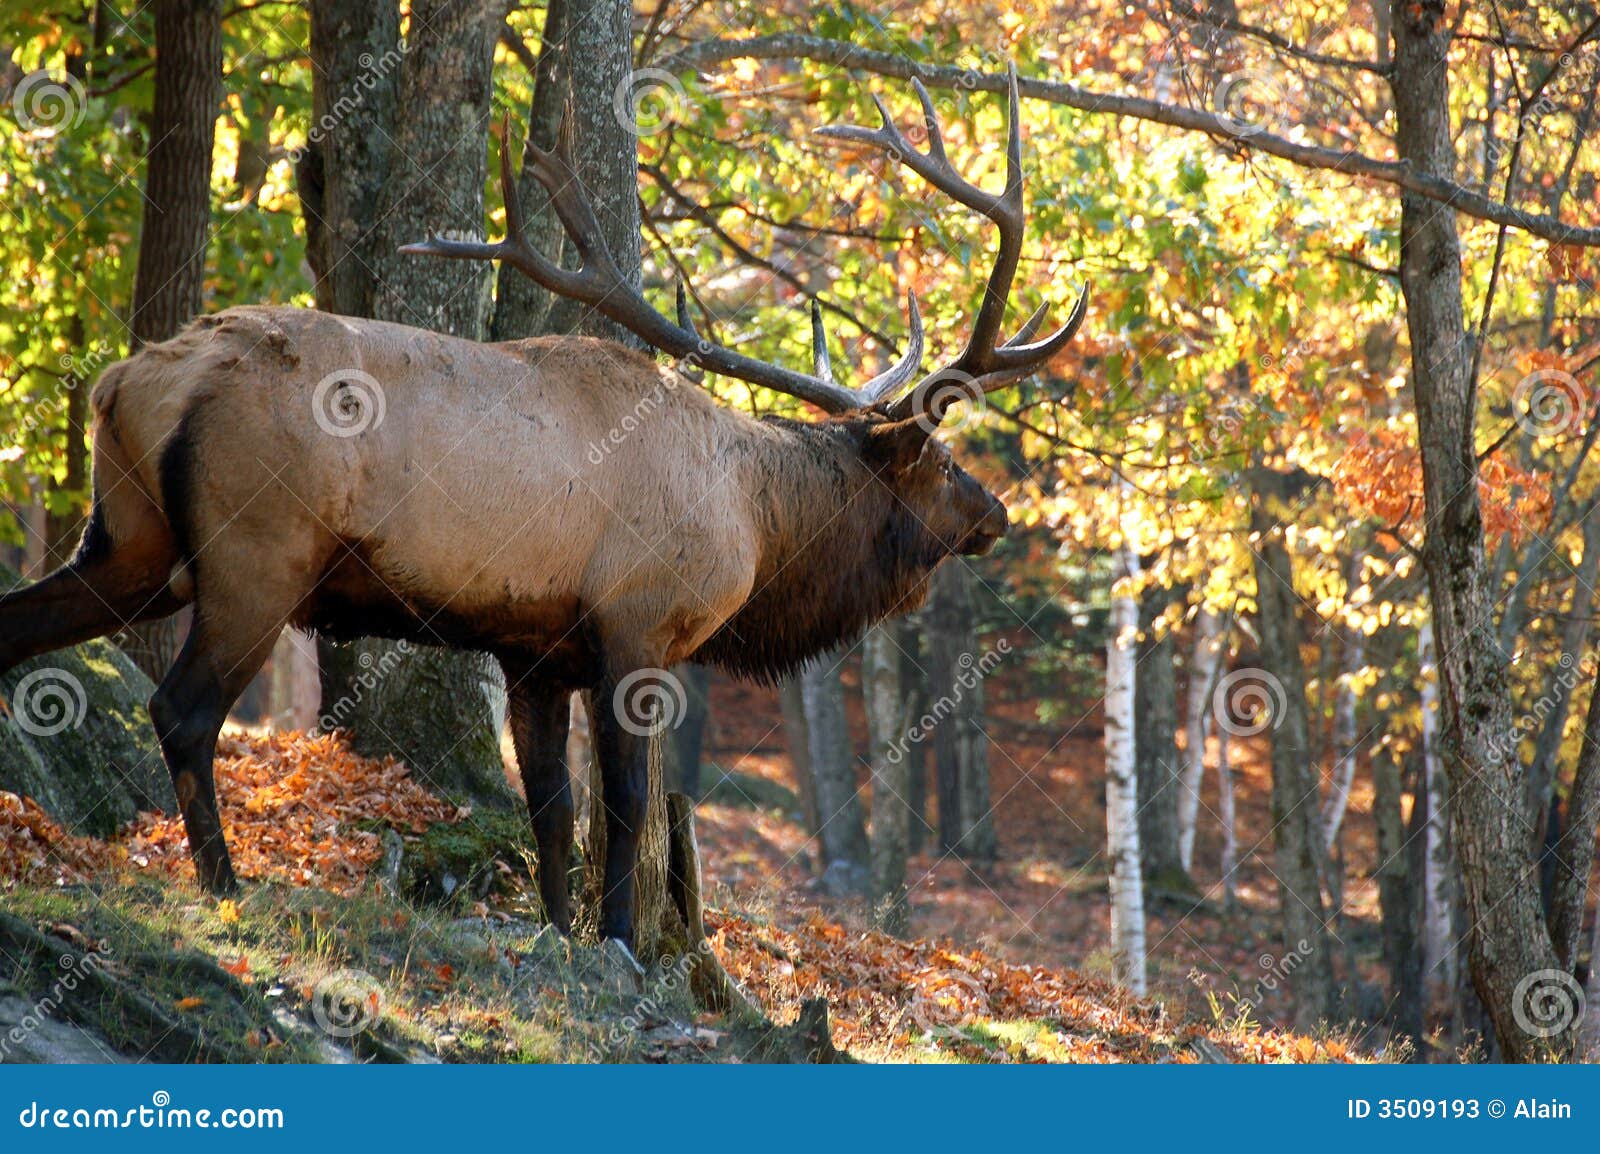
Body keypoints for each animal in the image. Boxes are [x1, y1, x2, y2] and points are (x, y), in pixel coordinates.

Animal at [0, 67, 1085, 952]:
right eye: (942, 459)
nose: (996, 512)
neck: (756, 524)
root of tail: (130, 380)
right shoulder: (639, 623)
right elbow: (623, 803)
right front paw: (617, 940)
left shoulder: (533, 650)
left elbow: (549, 807)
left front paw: (558, 932)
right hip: (254, 553)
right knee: (181, 709)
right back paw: (227, 885)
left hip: (131, 541)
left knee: (23, 626)